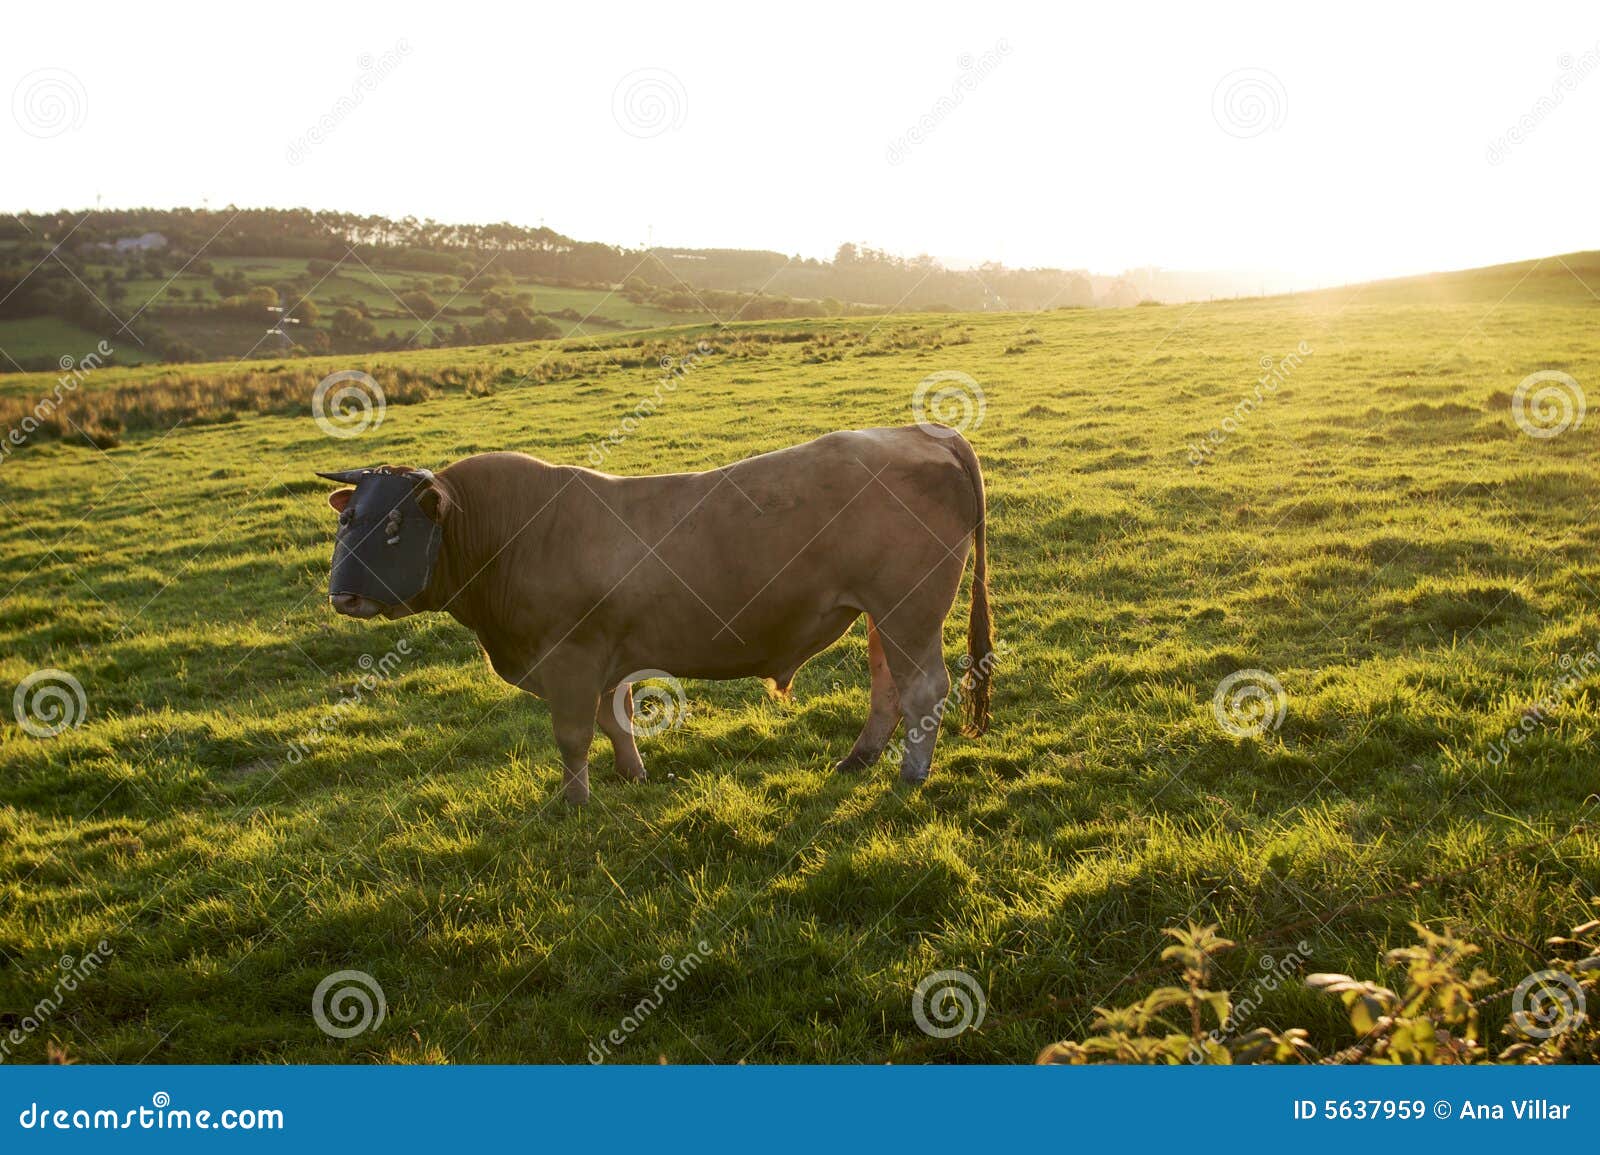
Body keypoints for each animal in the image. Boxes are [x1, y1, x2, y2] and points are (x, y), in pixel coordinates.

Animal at [318, 425, 994, 803]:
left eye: (396, 525)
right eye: (348, 521)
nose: (343, 594)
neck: (510, 533)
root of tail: (924, 431)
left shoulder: (570, 657)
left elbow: (573, 735)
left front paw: (575, 801)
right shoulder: (604, 657)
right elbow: (613, 721)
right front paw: (631, 774)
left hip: (909, 608)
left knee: (924, 688)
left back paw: (910, 775)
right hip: (883, 613)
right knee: (887, 685)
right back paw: (859, 759)